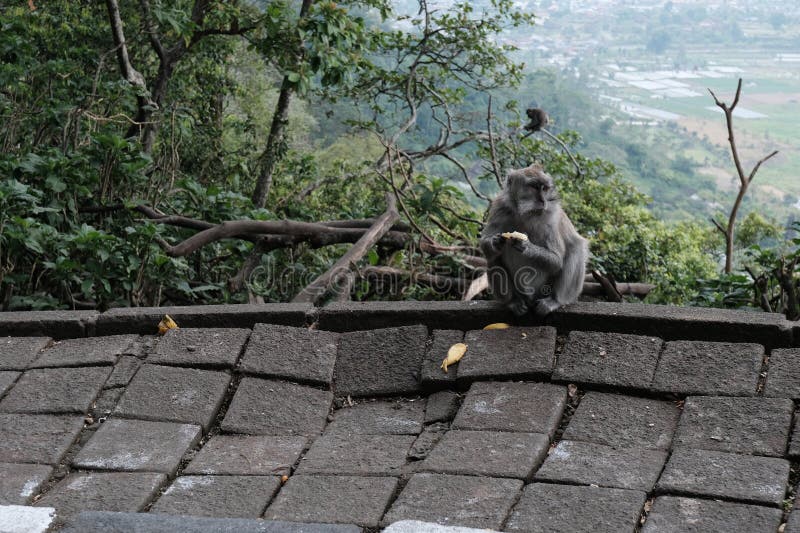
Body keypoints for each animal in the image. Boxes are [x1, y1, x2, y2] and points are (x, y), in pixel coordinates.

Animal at [480, 164, 588, 317]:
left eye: (544, 188)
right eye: (534, 187)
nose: (543, 201)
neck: (525, 213)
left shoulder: (551, 218)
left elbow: (556, 261)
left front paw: (526, 246)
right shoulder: (499, 207)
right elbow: (485, 244)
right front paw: (495, 242)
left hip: (545, 290)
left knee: (576, 249)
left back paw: (555, 300)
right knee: (492, 258)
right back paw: (513, 301)